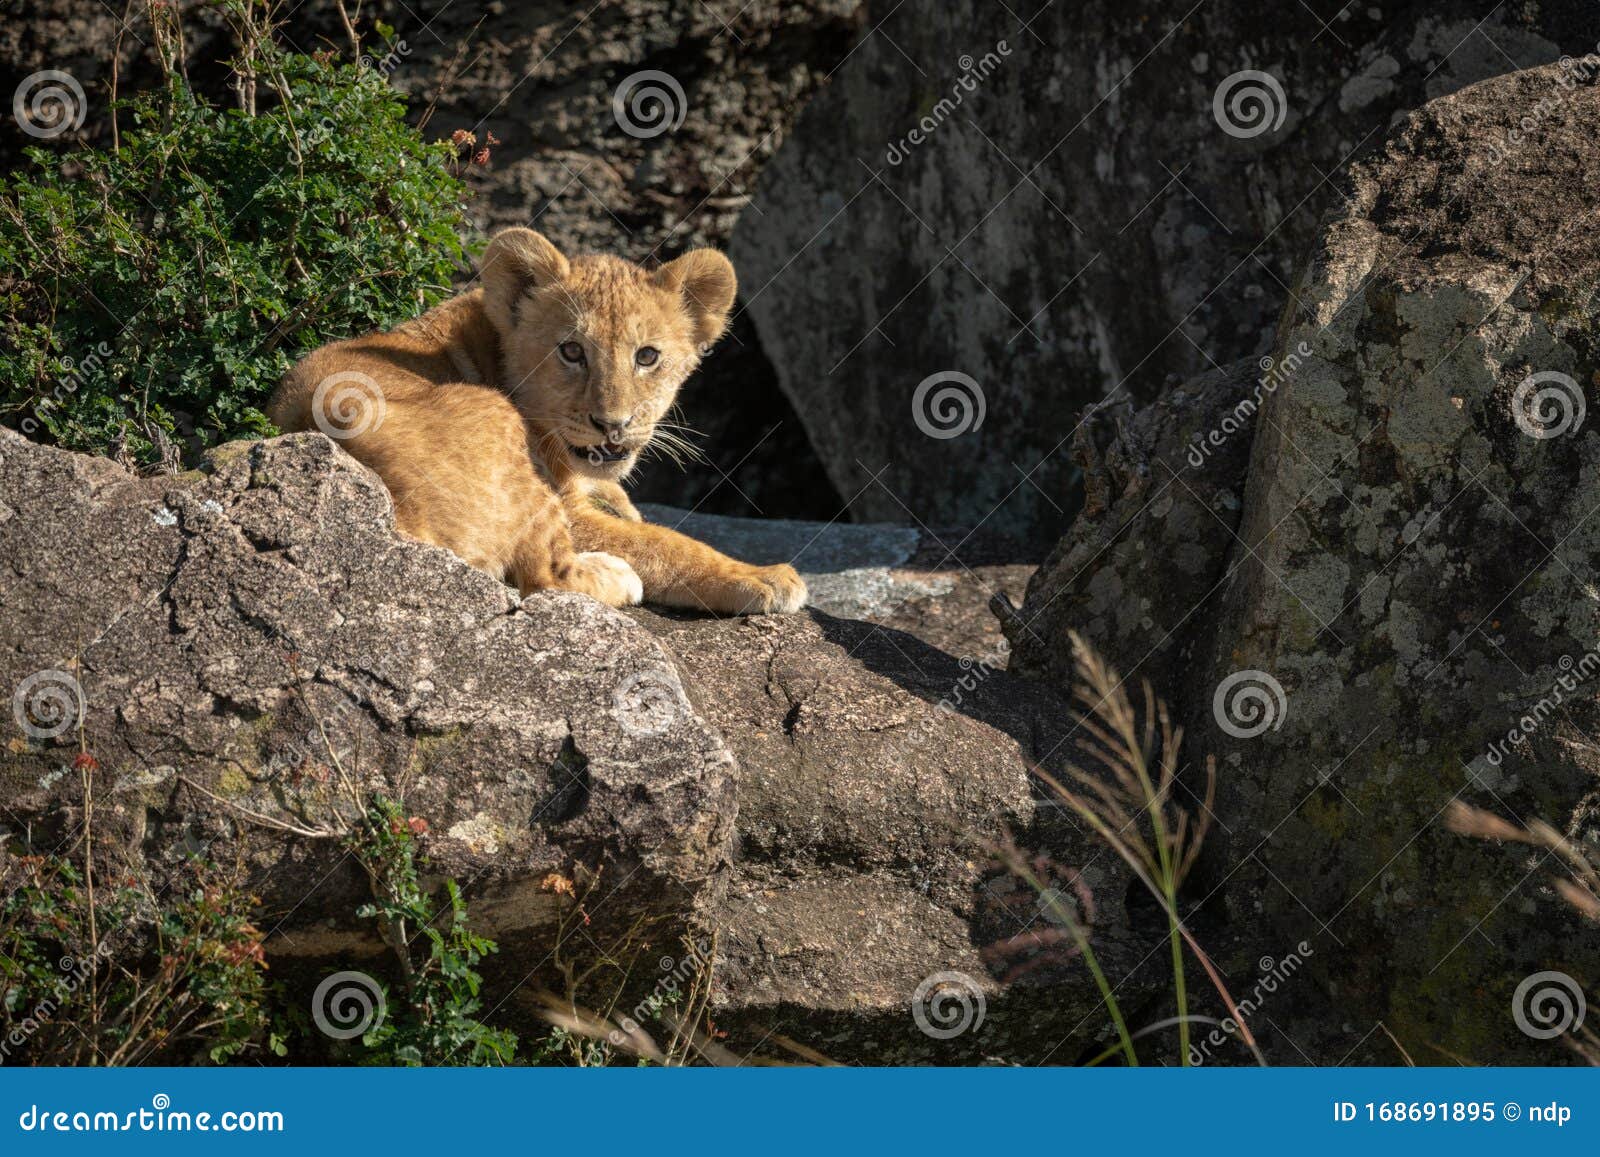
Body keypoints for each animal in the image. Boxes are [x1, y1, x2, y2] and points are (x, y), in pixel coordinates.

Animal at [267, 228, 807, 614]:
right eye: (571, 351)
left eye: (648, 356)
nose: (613, 424)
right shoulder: (566, 504)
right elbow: (664, 543)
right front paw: (760, 576)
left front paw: (620, 499)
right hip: (496, 424)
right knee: (547, 579)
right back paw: (617, 576)